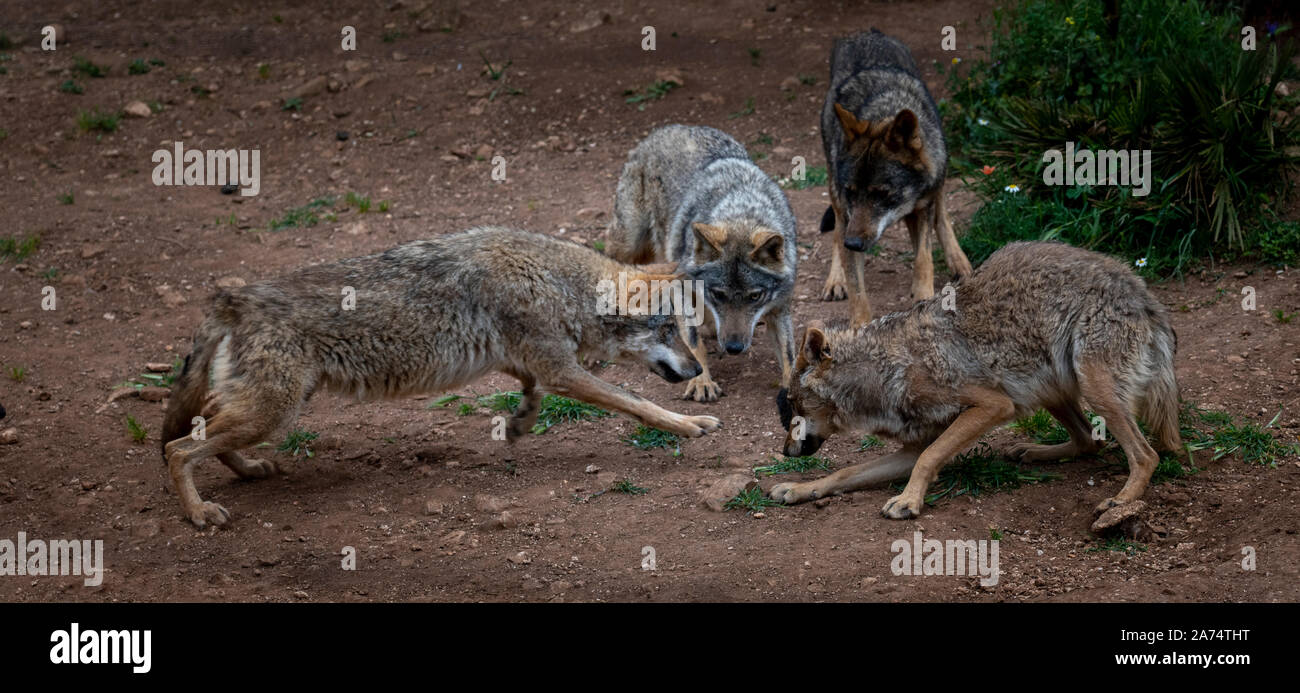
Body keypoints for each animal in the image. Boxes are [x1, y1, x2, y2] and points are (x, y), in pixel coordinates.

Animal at [161, 227, 721, 528]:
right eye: (668, 330)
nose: (698, 370)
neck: (557, 283)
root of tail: (233, 298)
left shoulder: (523, 360)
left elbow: (531, 392)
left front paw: (518, 424)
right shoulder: (563, 369)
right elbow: (636, 401)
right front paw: (689, 425)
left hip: (268, 409)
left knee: (202, 425)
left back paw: (248, 469)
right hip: (274, 411)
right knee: (177, 449)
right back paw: (199, 512)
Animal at [606, 124, 798, 404]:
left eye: (754, 297)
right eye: (718, 294)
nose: (733, 348)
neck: (741, 213)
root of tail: (668, 128)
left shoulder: (779, 308)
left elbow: (789, 356)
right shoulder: (682, 289)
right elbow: (694, 345)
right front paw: (701, 382)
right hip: (629, 242)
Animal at [774, 242, 1181, 524]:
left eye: (793, 405)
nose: (784, 452)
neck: (883, 369)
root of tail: (1142, 293)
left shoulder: (992, 405)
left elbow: (929, 458)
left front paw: (907, 501)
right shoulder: (913, 445)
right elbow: (844, 472)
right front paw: (798, 489)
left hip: (1091, 388)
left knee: (1145, 454)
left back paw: (1121, 500)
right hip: (1046, 386)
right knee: (1089, 441)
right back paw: (1032, 452)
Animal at [819, 29, 973, 327]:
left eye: (882, 193)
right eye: (851, 192)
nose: (853, 244)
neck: (884, 112)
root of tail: (867, 32)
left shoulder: (922, 207)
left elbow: (924, 258)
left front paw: (923, 297)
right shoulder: (847, 211)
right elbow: (857, 289)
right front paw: (860, 327)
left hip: (938, 177)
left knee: (941, 215)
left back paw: (959, 262)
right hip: (834, 191)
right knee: (836, 234)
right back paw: (835, 280)